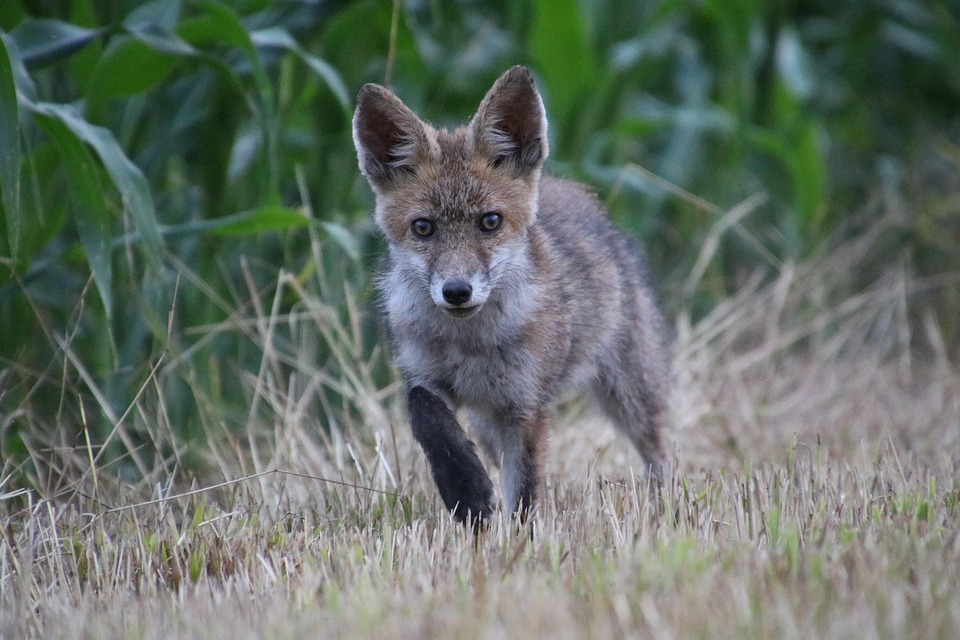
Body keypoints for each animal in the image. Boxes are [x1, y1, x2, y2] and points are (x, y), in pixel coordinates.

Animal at [352, 66, 670, 526]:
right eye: (423, 227)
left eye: (490, 221)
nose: (457, 291)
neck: (469, 346)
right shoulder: (425, 377)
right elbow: (426, 417)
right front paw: (465, 492)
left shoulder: (525, 406)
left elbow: (525, 489)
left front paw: (519, 537)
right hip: (488, 421)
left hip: (629, 391)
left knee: (659, 449)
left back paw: (667, 504)